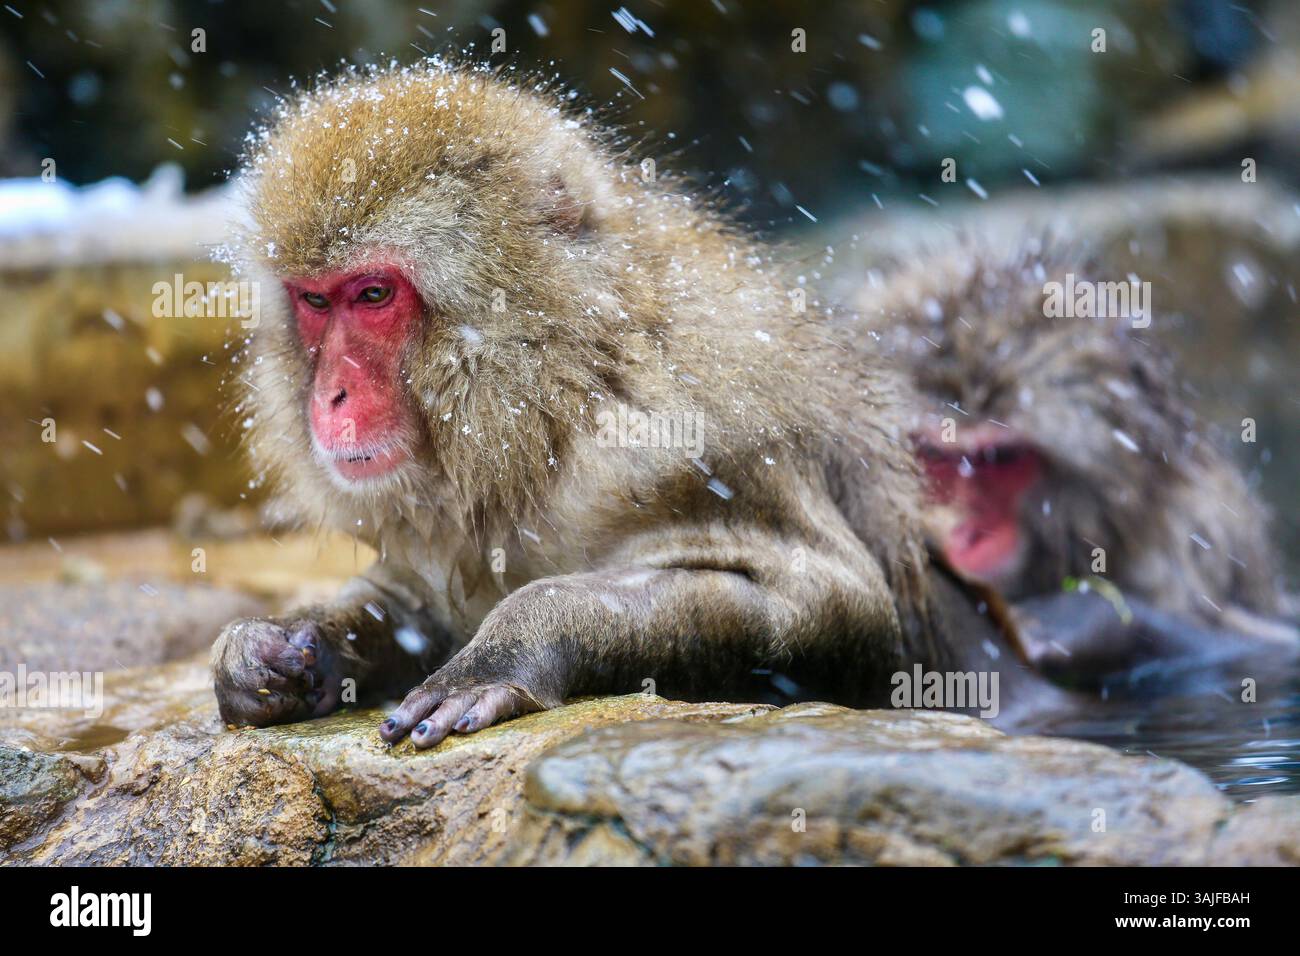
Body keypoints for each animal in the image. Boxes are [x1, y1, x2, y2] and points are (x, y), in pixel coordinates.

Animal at [212, 60, 1082, 747]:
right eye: (314, 302)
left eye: (373, 294)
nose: (330, 393)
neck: (563, 390)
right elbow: (407, 597)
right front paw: (280, 647)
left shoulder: (696, 443)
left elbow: (841, 608)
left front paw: (514, 644)